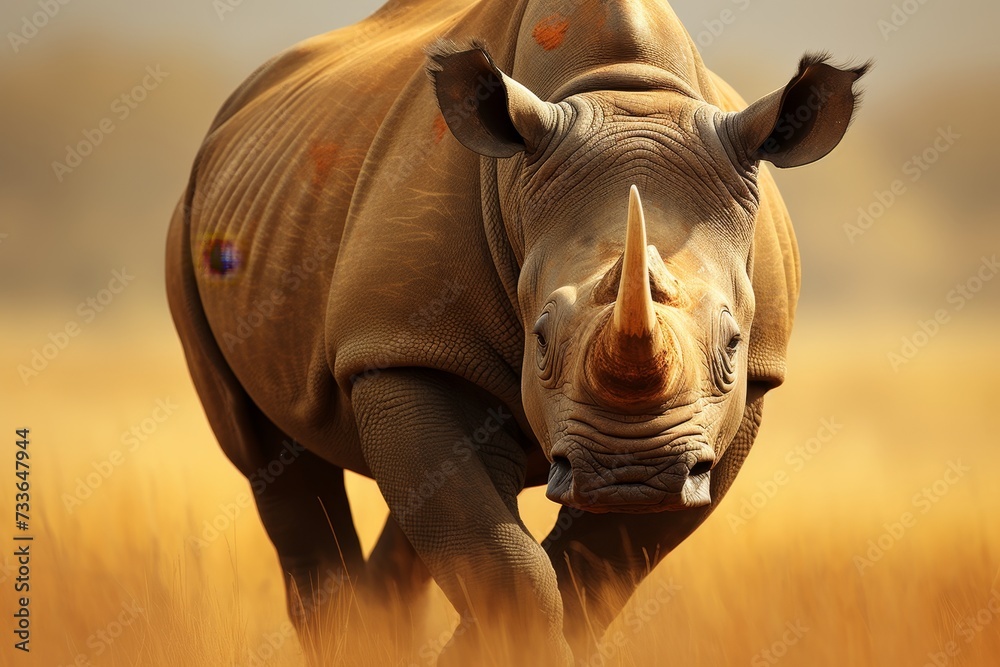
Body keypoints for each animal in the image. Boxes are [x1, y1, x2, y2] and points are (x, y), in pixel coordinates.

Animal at [167, 0, 868, 662]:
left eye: (731, 343)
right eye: (541, 339)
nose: (632, 475)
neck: (625, 91)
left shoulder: (748, 391)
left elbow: (584, 577)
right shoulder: (401, 350)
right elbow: (511, 571)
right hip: (195, 222)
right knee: (273, 460)